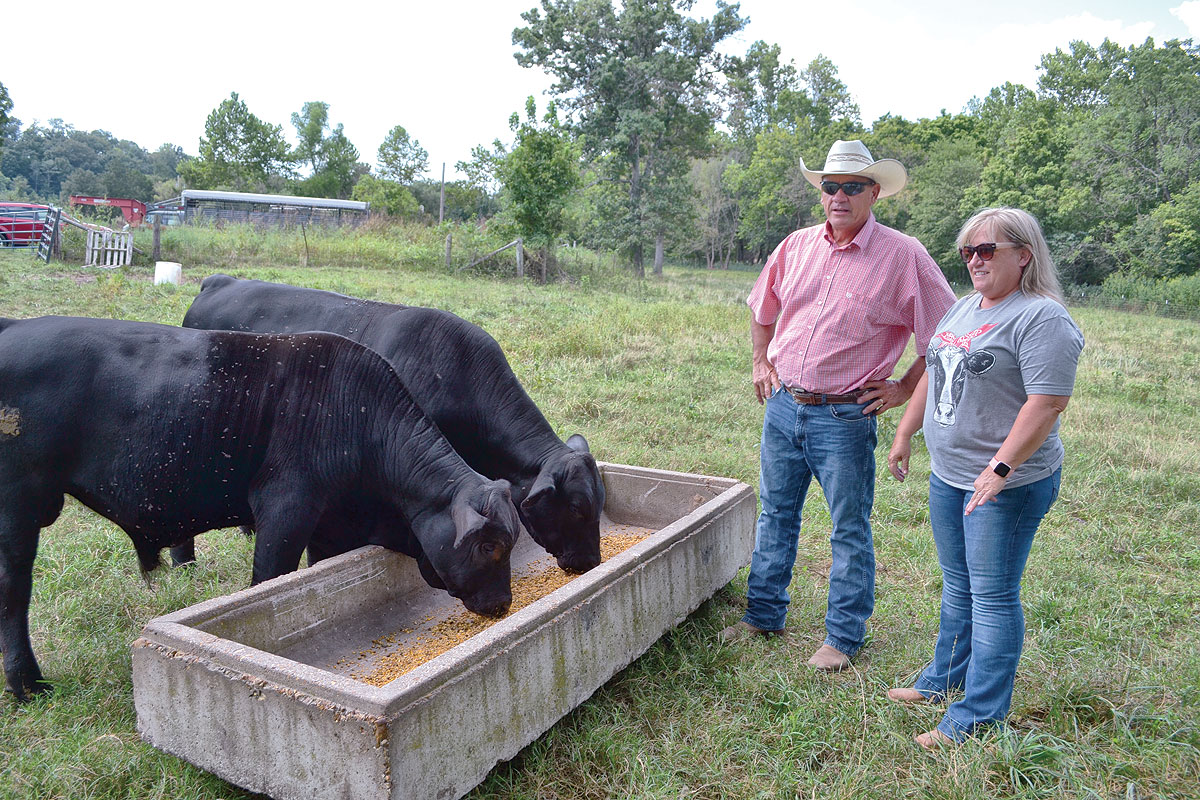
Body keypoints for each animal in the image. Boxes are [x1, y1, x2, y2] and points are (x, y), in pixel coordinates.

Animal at [0, 316, 520, 701]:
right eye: (490, 546)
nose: (503, 604)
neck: (359, 417)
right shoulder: (287, 508)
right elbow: (269, 581)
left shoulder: (330, 529)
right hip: (18, 505)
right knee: (13, 591)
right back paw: (28, 684)